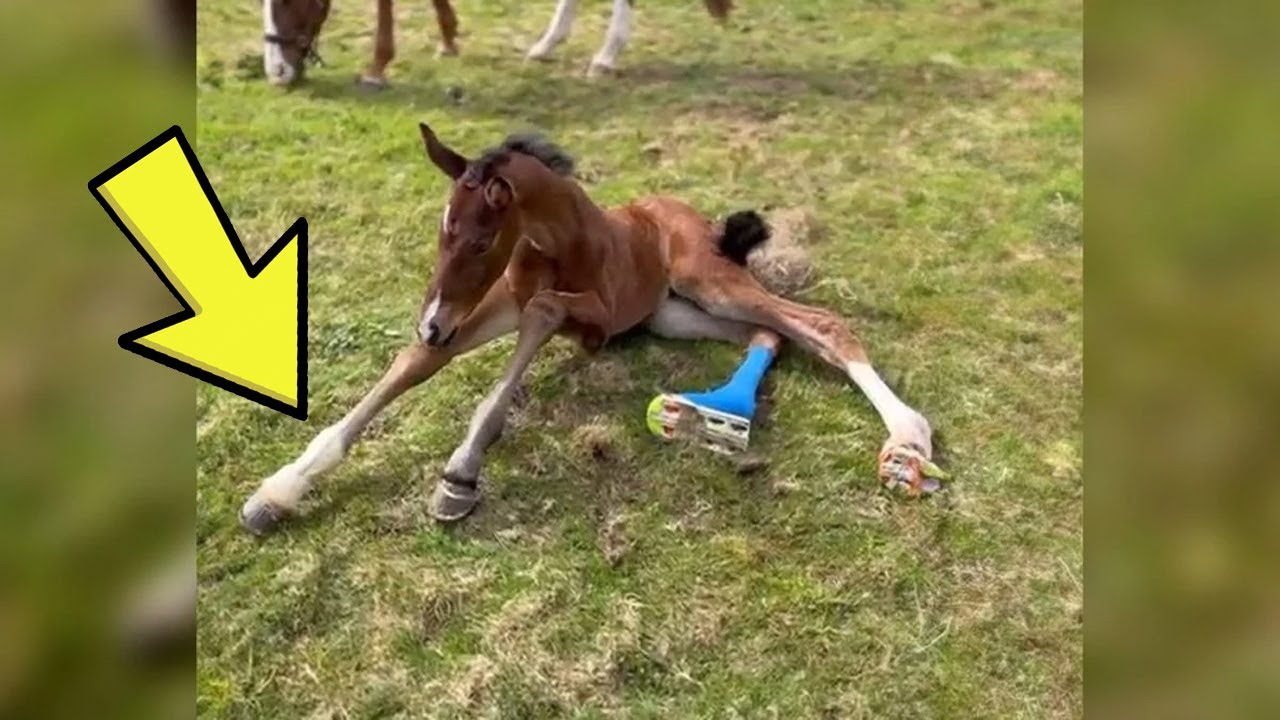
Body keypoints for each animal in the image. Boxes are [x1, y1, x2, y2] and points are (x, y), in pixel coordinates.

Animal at [238, 124, 940, 533]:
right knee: (770, 336)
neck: (557, 242)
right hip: (675, 314)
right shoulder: (493, 306)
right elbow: (413, 365)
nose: (435, 322)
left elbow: (544, 314)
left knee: (820, 324)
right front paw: (279, 489)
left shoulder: (588, 320)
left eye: (481, 240)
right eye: (439, 233)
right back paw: (707, 412)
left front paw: (460, 475)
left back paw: (907, 439)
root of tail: (699, 220)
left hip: (708, 279)